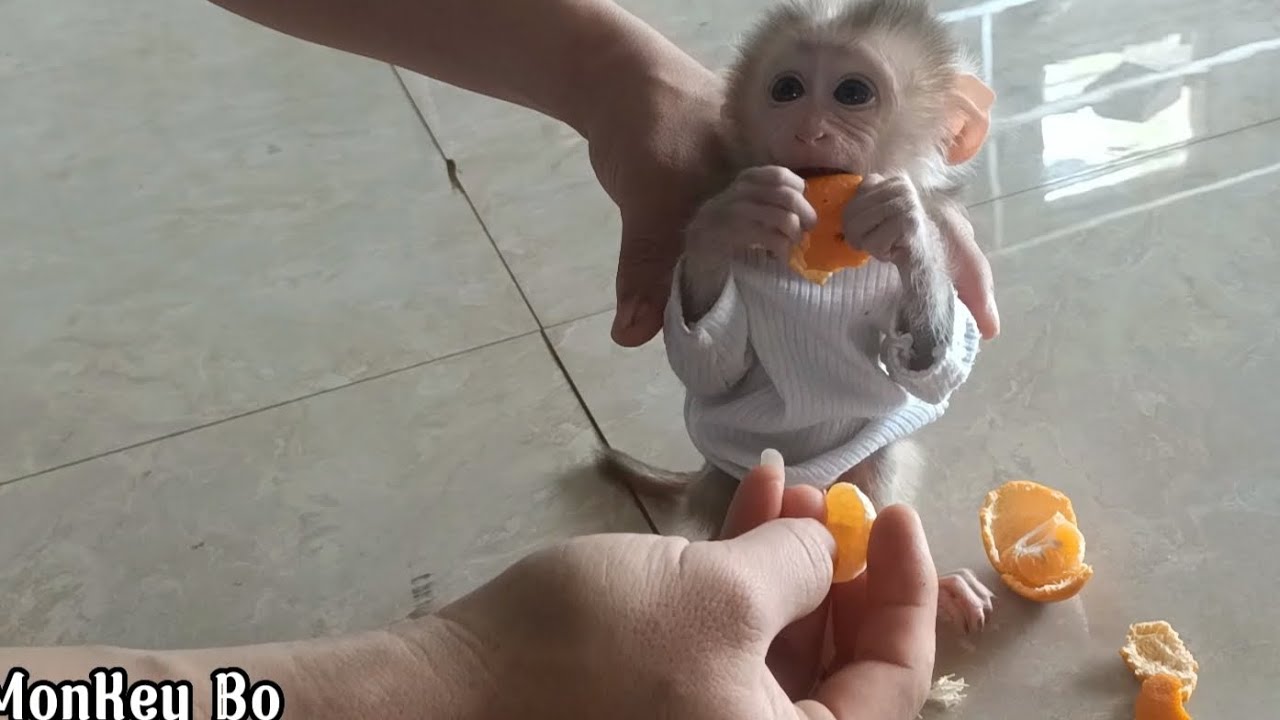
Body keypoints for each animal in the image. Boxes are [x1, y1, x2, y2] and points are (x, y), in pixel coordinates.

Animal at [600, 0, 998, 633]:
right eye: (786, 89)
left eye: (852, 92)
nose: (807, 129)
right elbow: (710, 368)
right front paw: (727, 222)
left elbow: (931, 371)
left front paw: (907, 227)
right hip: (731, 483)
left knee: (879, 460)